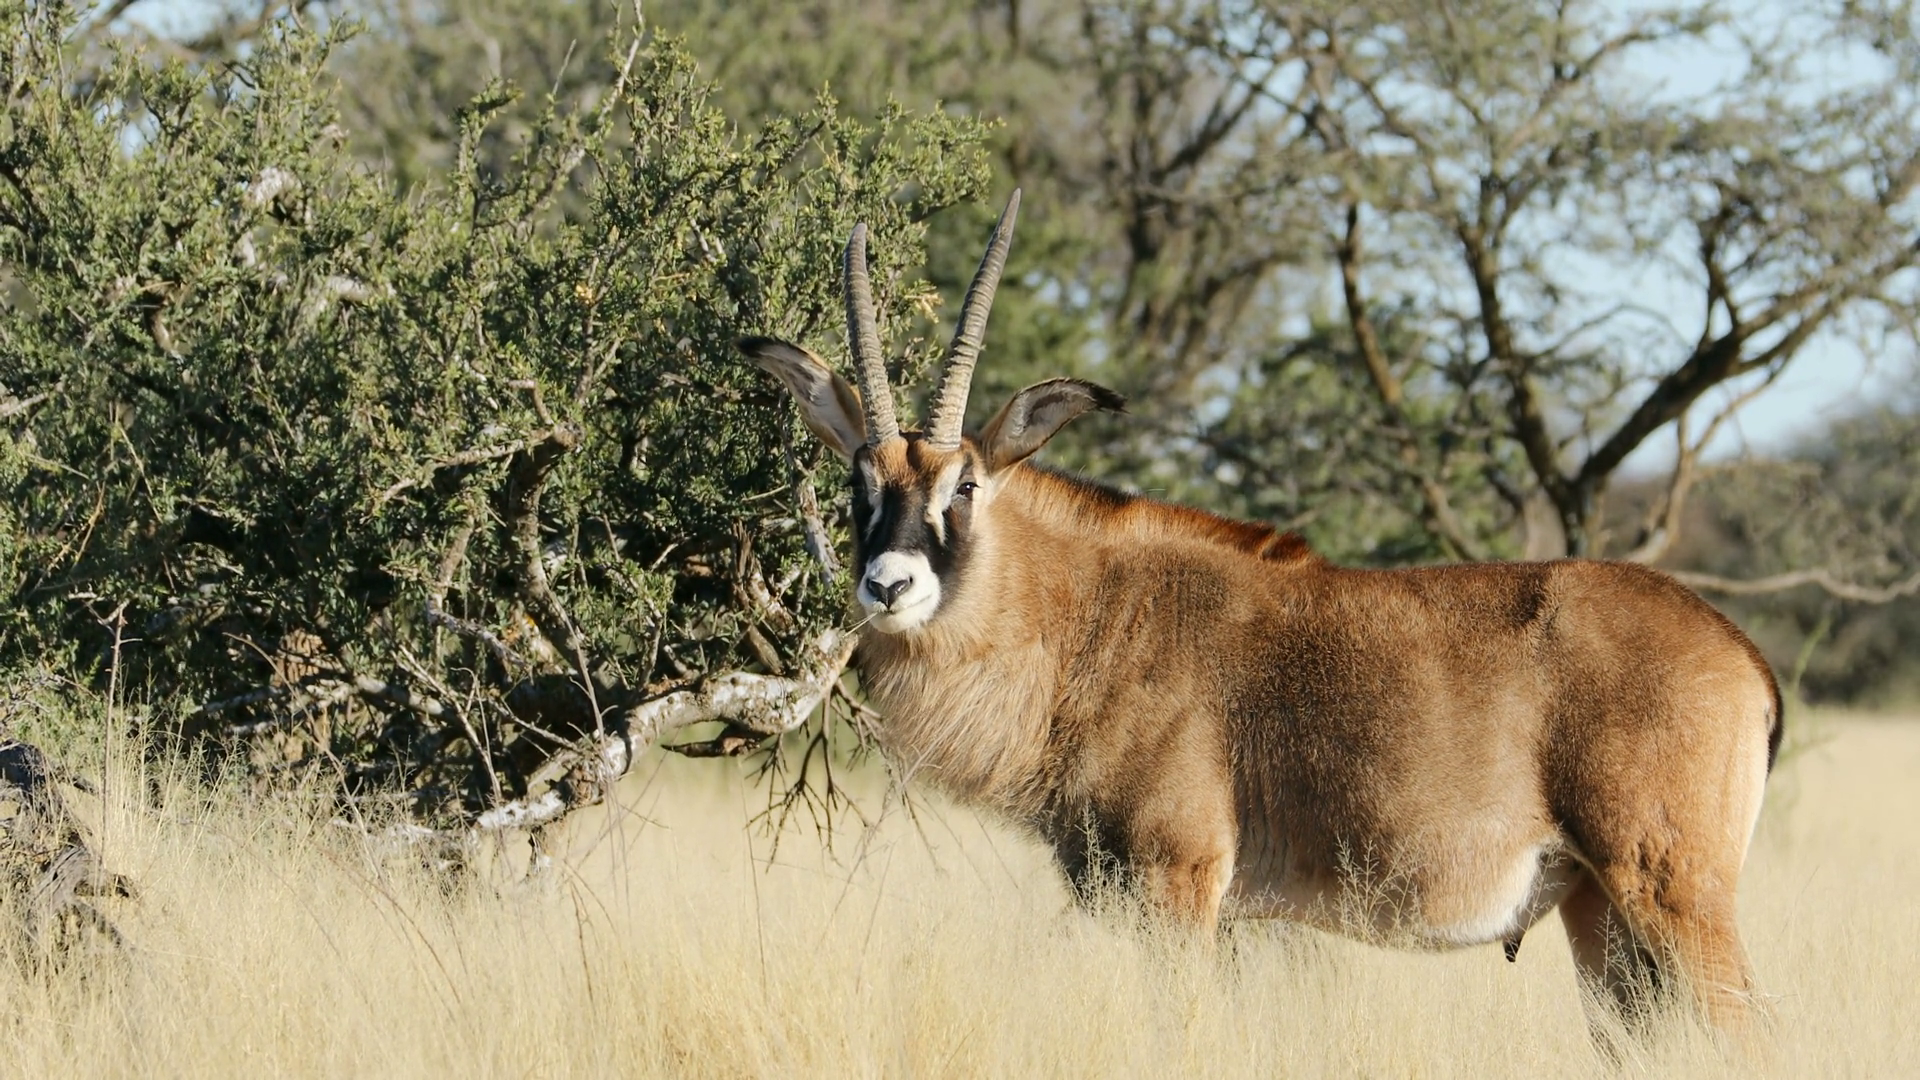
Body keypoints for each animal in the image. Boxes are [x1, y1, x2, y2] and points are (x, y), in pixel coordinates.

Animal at [738, 192, 1780, 1039]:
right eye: (859, 485)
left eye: (965, 484)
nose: (891, 587)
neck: (1092, 617)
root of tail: (1745, 657)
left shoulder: (1178, 885)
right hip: (1598, 914)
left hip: (1673, 894)